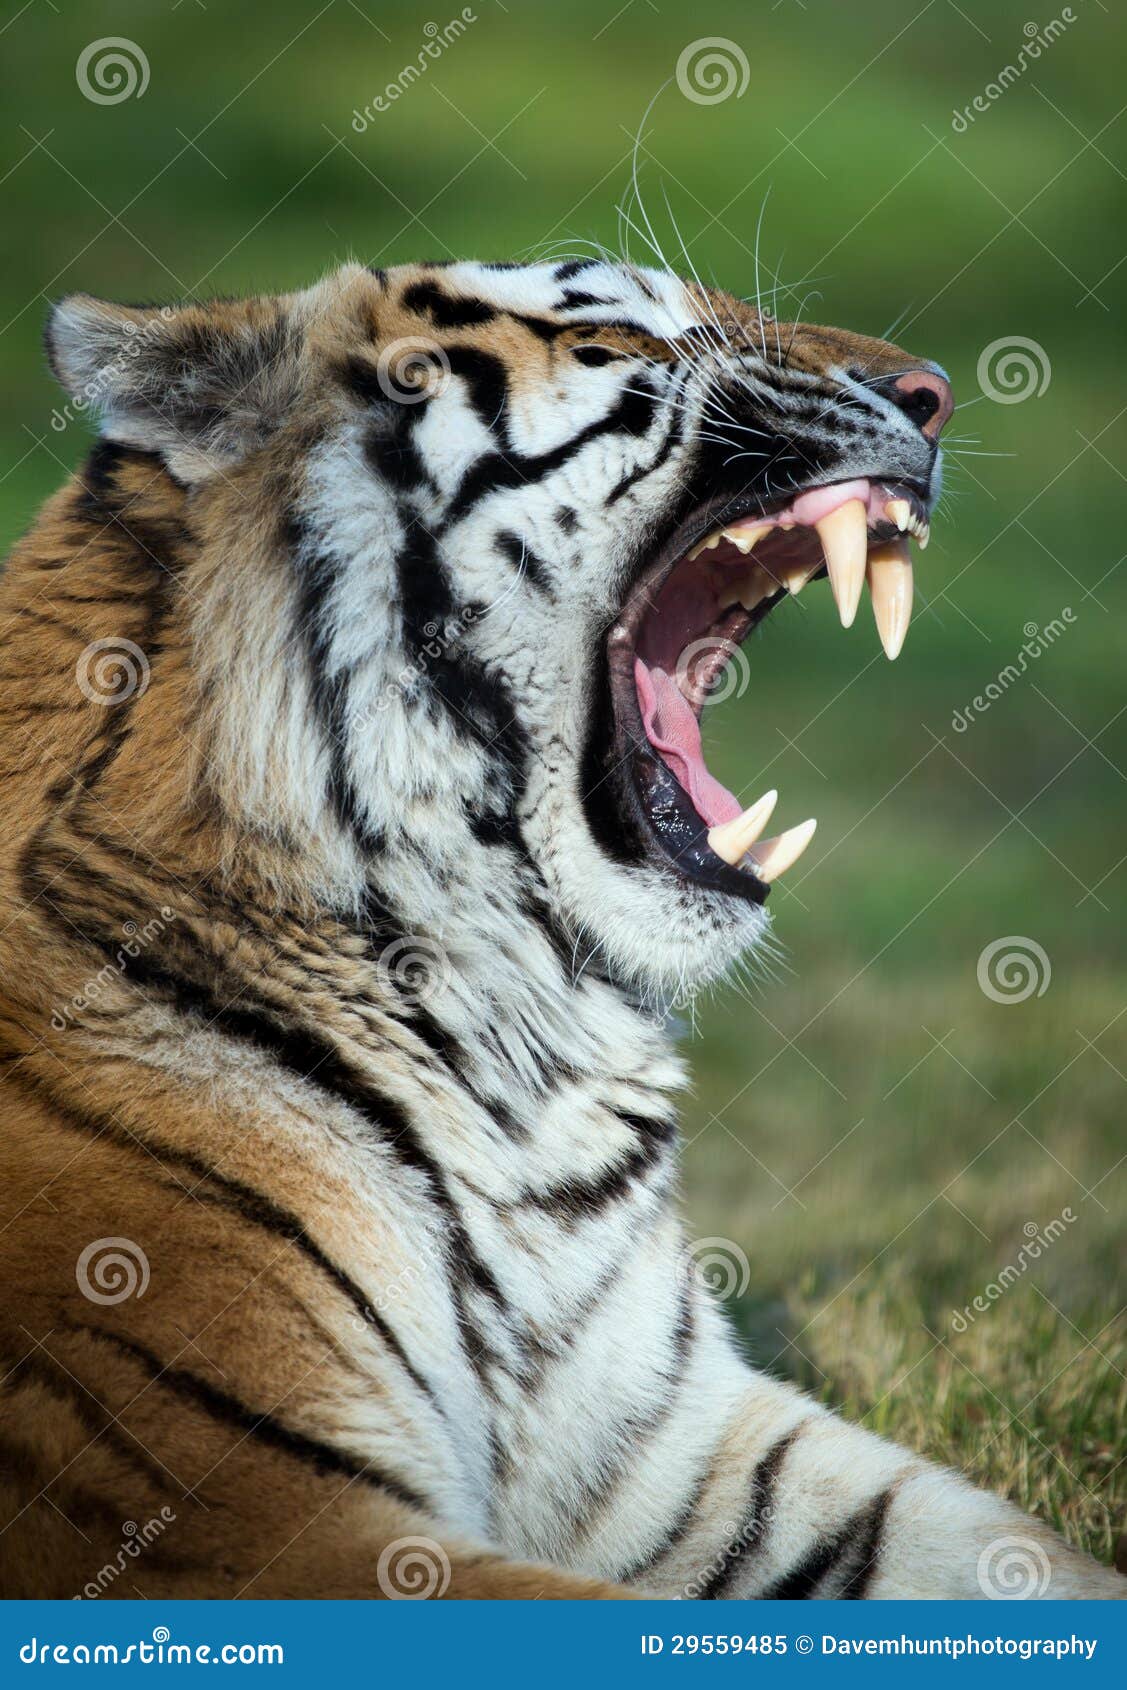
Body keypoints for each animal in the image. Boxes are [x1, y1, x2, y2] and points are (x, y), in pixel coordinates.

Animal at [0, 256, 1121, 1602]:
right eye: (622, 334)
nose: (936, 392)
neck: (526, 1070)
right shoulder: (254, 1518)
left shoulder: (676, 1445)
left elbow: (1022, 1553)